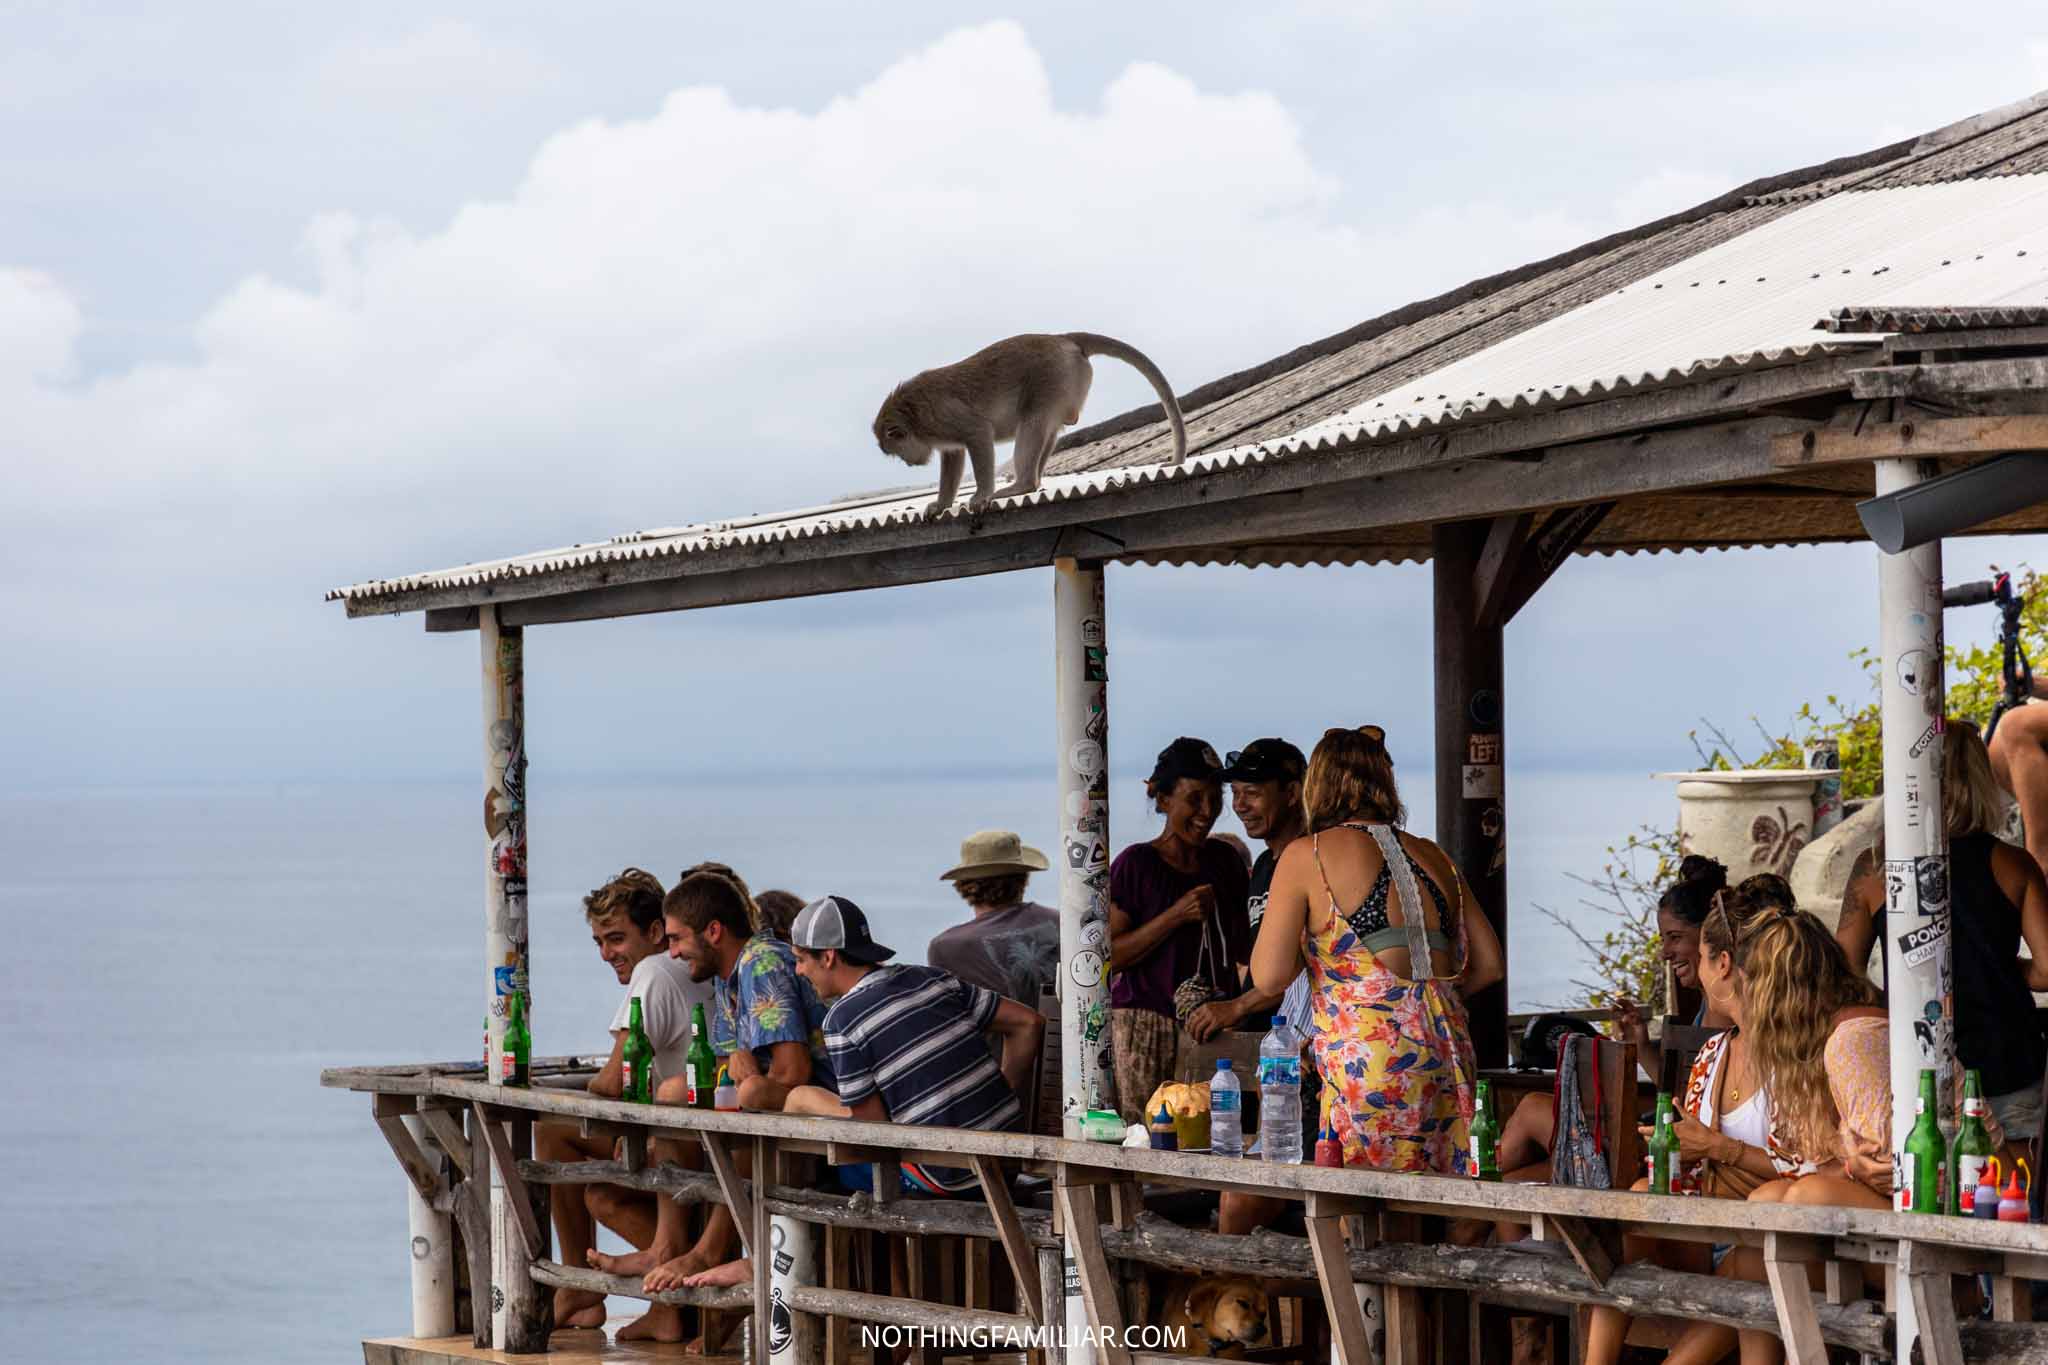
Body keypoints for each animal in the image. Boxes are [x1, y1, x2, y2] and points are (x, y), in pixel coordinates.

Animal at [872, 333, 1188, 518]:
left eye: (895, 450)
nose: (908, 462)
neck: (912, 414)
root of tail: (1061, 338)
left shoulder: (940, 414)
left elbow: (978, 433)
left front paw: (981, 496)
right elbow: (953, 455)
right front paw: (941, 504)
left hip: (1053, 375)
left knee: (1032, 421)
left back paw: (1023, 484)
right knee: (1050, 428)